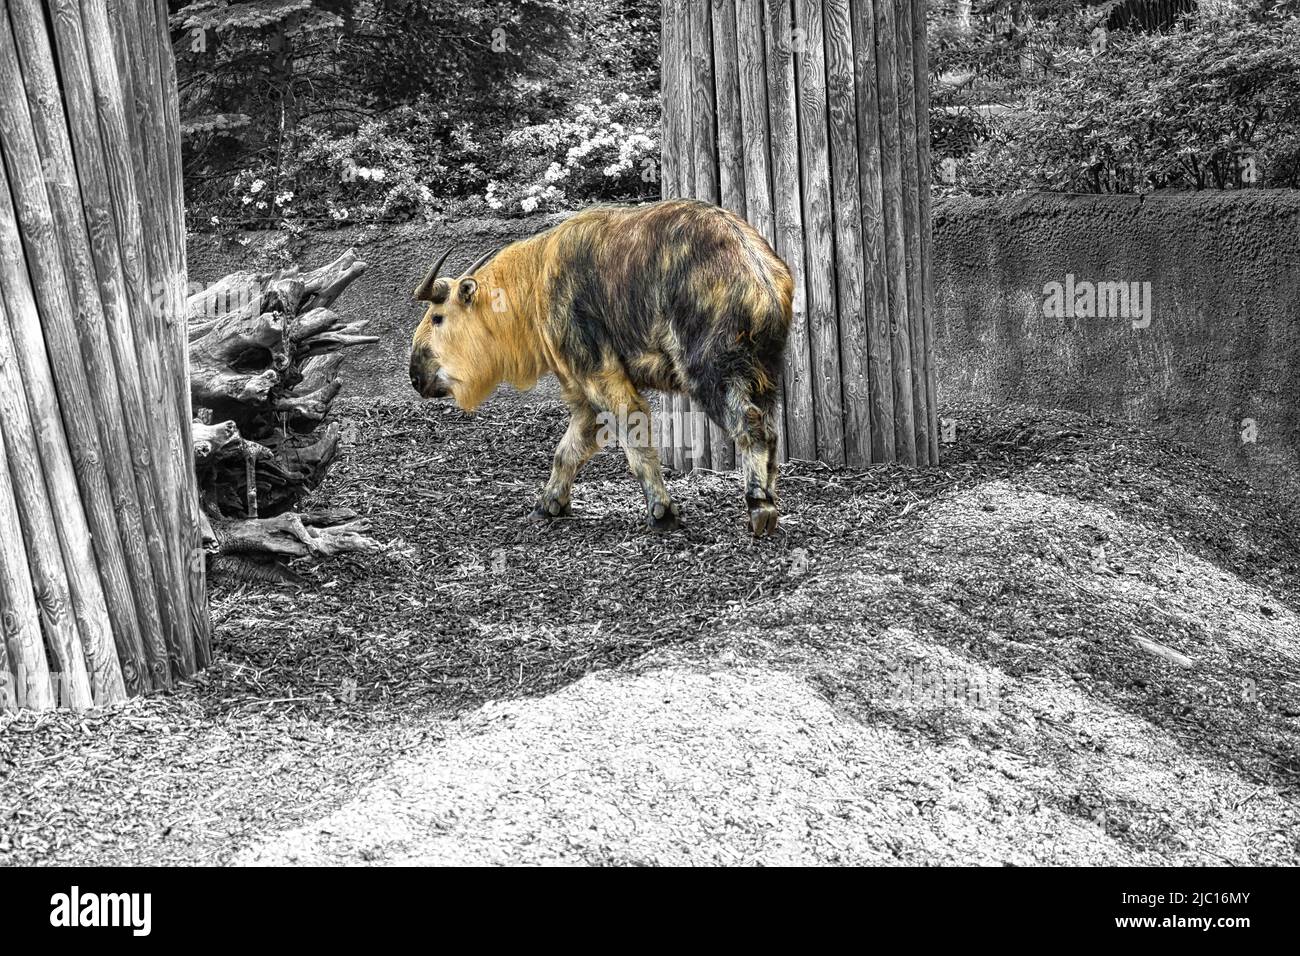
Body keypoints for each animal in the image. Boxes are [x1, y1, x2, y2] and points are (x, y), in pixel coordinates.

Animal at [408, 199, 792, 536]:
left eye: (438, 318)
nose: (414, 376)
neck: (536, 278)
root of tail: (757, 267)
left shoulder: (598, 373)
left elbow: (633, 437)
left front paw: (662, 512)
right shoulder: (582, 392)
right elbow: (566, 452)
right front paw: (549, 504)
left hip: (711, 372)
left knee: (751, 426)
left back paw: (759, 506)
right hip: (765, 371)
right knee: (772, 430)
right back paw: (770, 497)